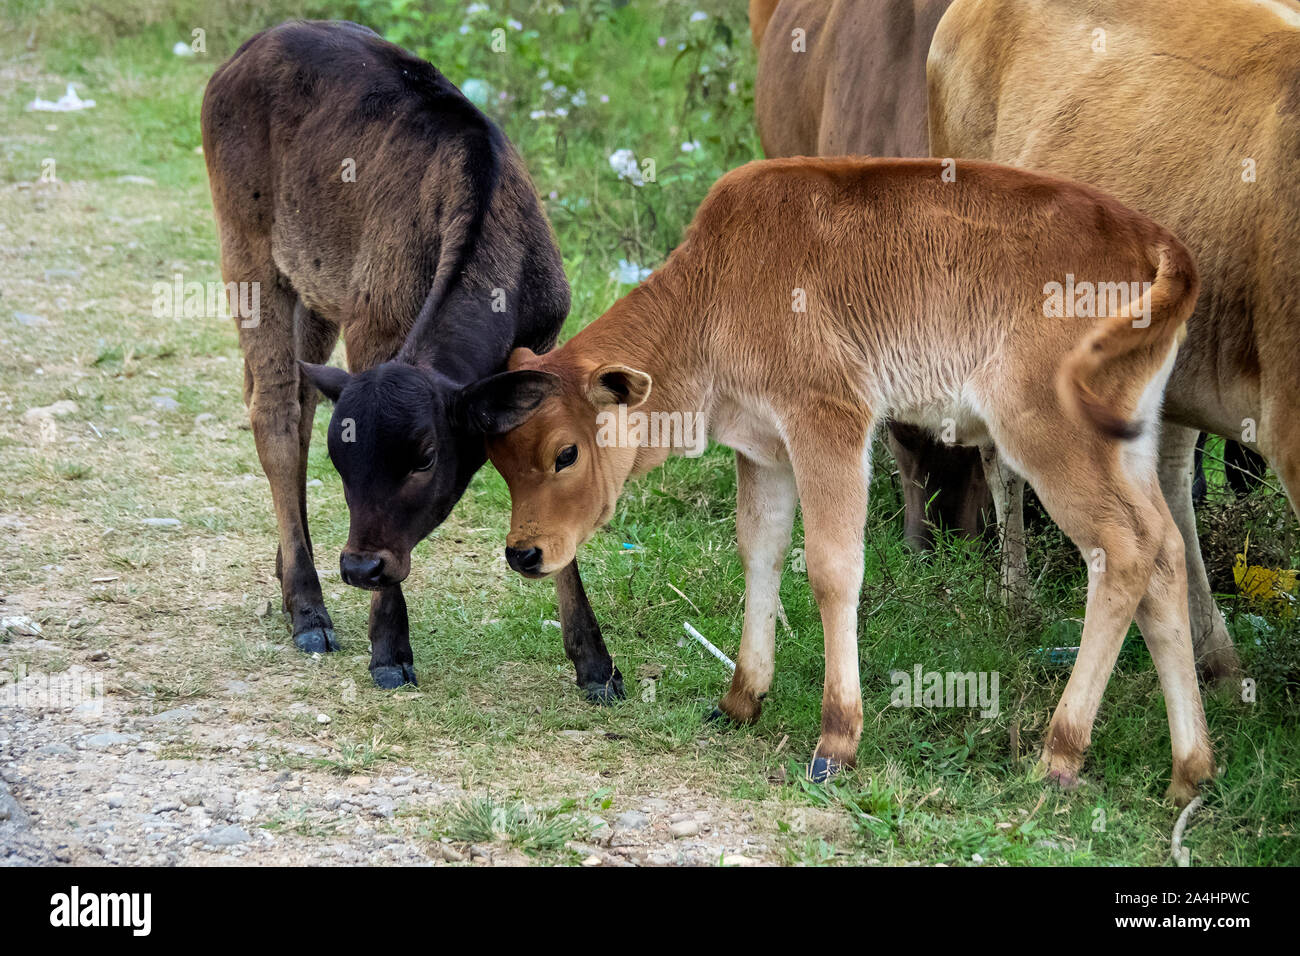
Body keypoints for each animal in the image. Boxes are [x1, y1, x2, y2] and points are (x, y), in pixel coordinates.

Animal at [200, 20, 623, 699]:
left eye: (425, 457)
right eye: (343, 459)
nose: (361, 566)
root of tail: (254, 44)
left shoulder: (546, 342)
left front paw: (595, 663)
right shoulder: (372, 328)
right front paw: (389, 648)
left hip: (317, 291)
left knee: (298, 401)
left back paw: (291, 579)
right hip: (247, 251)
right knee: (275, 415)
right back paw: (309, 608)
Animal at [483, 157, 1214, 805]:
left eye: (565, 452)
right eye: (497, 458)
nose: (524, 553)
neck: (713, 290)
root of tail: (1154, 239)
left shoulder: (827, 422)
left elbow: (833, 568)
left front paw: (835, 742)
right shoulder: (765, 450)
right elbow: (762, 551)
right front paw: (740, 700)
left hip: (1053, 443)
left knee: (1122, 552)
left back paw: (1060, 755)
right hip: (1127, 447)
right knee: (1167, 553)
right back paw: (1190, 773)